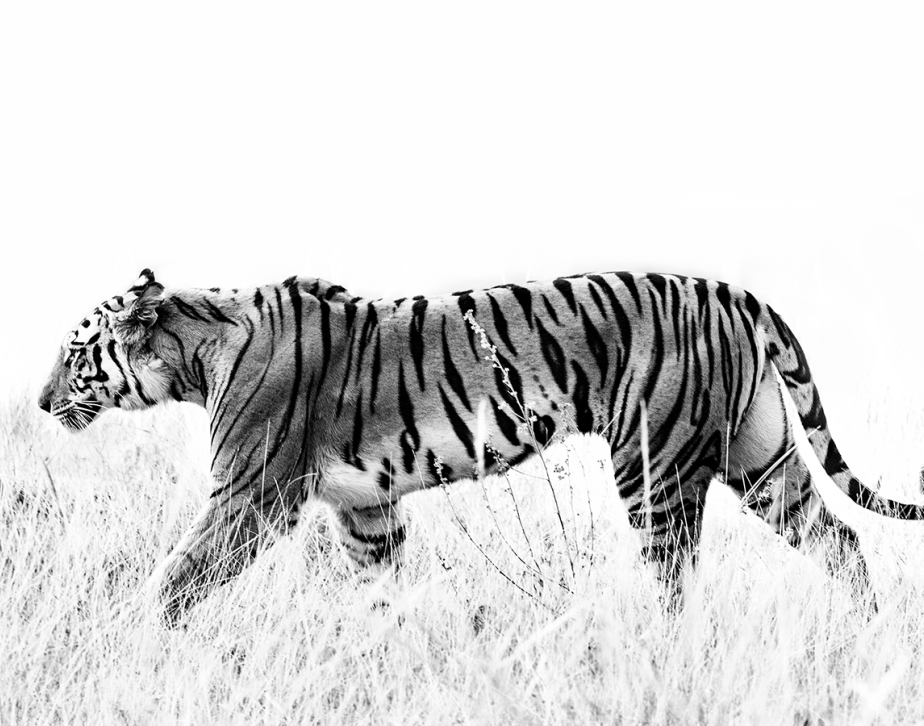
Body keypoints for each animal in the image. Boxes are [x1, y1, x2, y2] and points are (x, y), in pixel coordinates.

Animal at [39, 268, 923, 623]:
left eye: (75, 352)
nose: (41, 403)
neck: (197, 351)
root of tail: (727, 289)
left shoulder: (247, 494)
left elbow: (178, 573)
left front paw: (139, 634)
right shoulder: (367, 510)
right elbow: (380, 588)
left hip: (657, 468)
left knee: (674, 580)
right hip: (763, 460)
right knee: (842, 539)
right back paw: (865, 630)